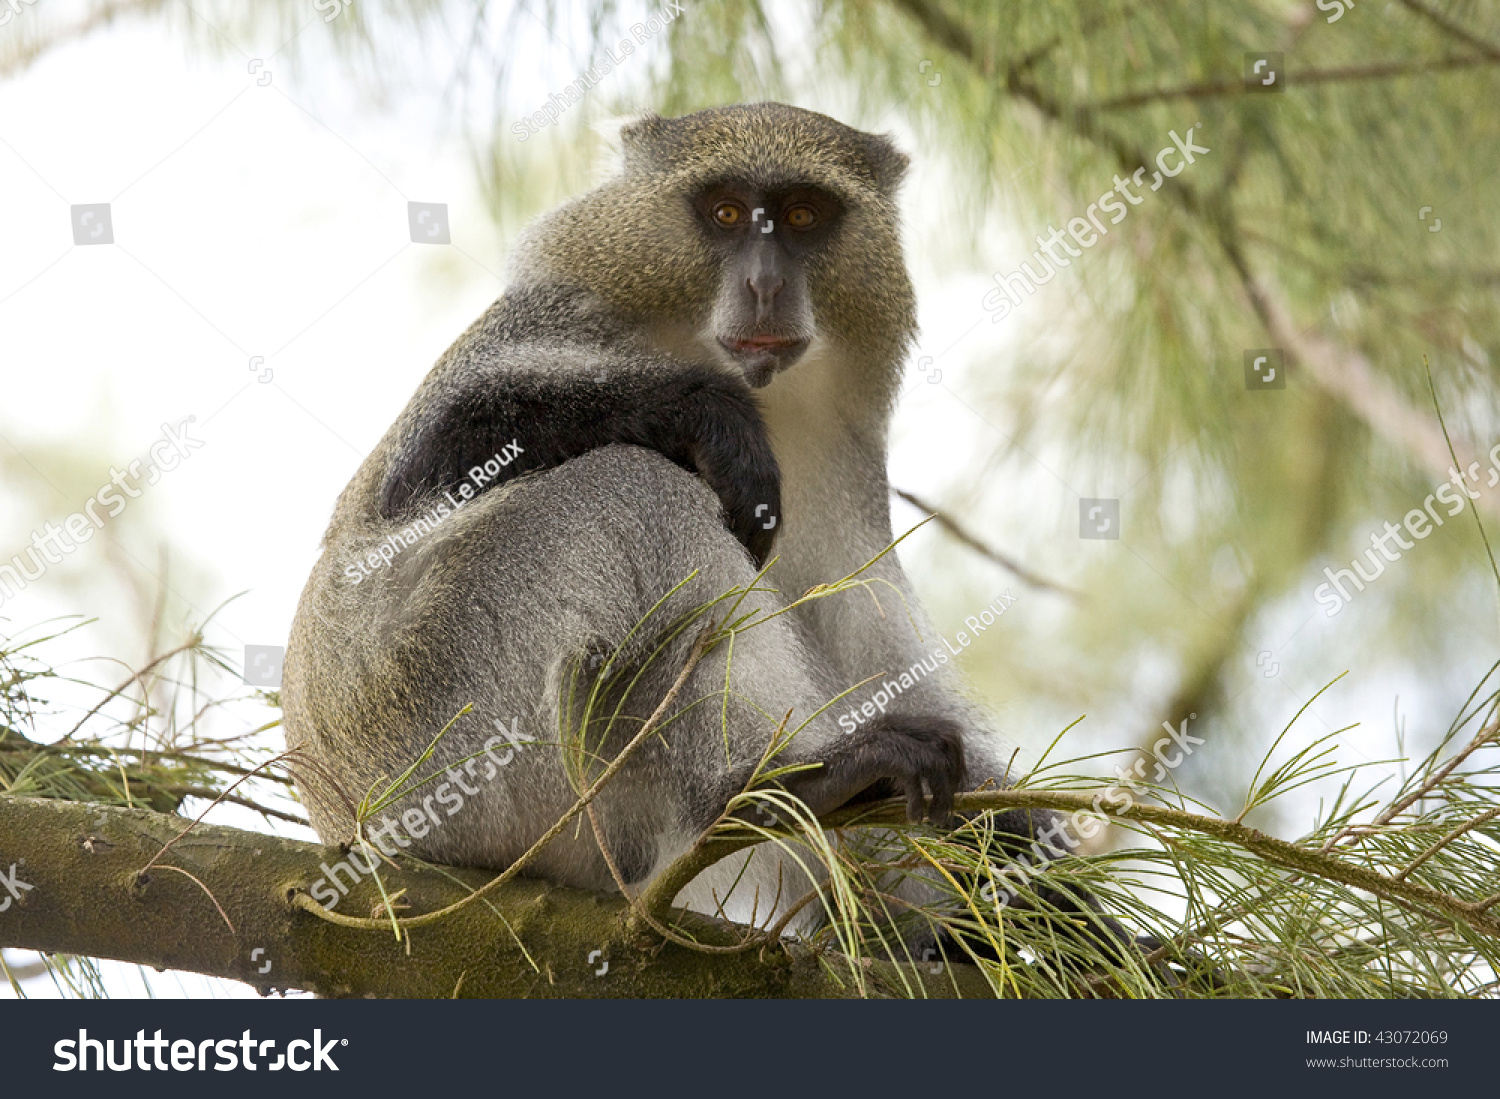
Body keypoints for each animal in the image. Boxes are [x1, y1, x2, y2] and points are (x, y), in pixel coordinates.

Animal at [282, 102, 1071, 941]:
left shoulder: (842, 460)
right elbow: (422, 472)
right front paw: (711, 418)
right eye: (725, 212)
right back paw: (772, 788)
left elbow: (872, 651)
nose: (764, 284)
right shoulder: (546, 319)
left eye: (803, 214)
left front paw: (1051, 892)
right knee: (626, 484)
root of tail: (344, 824)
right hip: (439, 724)